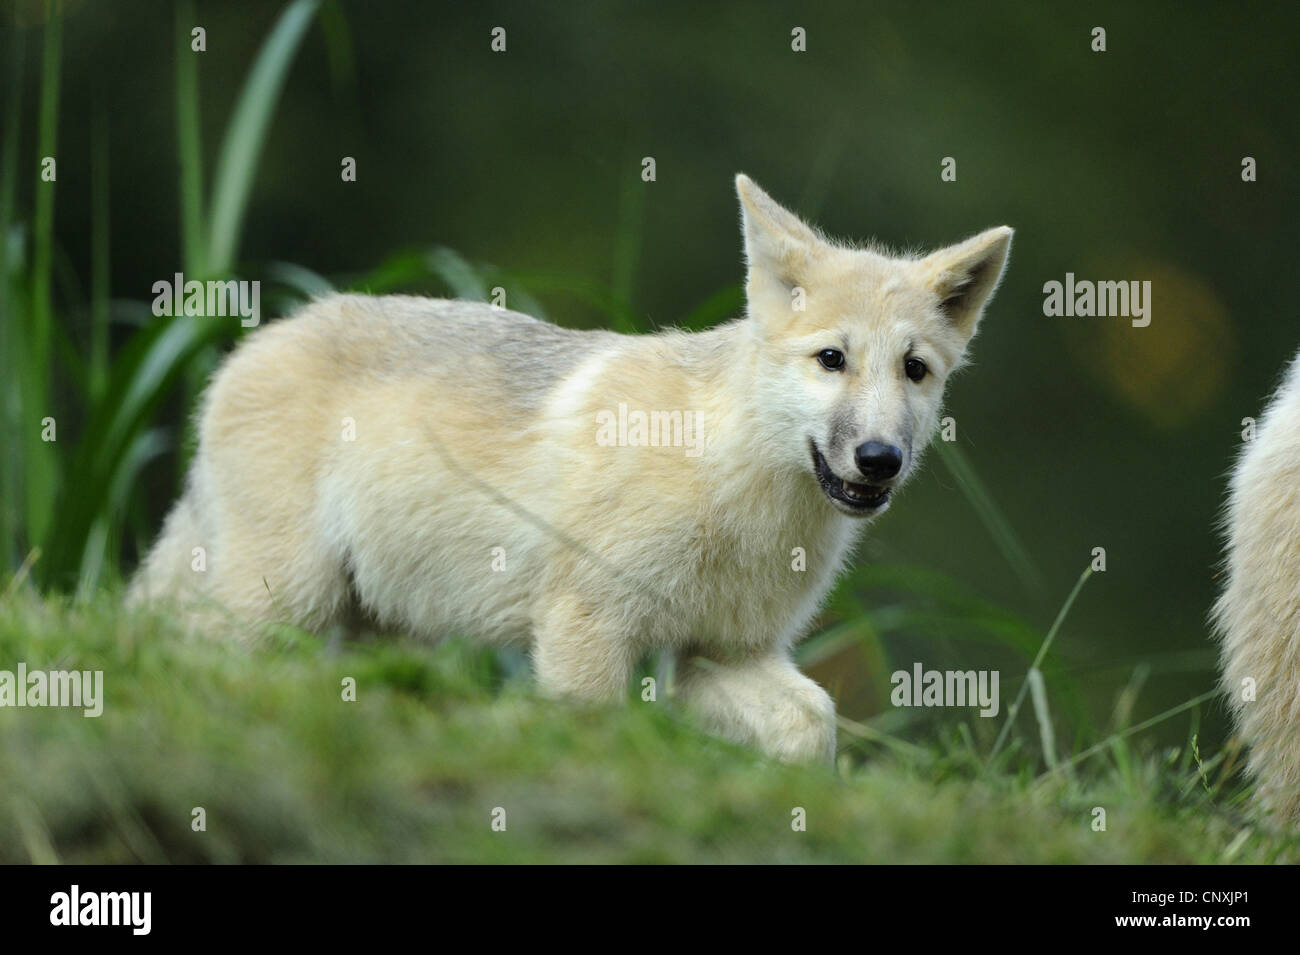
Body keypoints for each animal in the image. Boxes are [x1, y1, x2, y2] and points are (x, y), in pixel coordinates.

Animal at [129, 175, 1012, 763]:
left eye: (915, 370)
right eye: (833, 359)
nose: (879, 459)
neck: (727, 485)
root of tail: (251, 343)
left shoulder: (718, 657)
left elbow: (812, 724)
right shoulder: (586, 631)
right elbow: (592, 729)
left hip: (359, 625)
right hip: (282, 605)